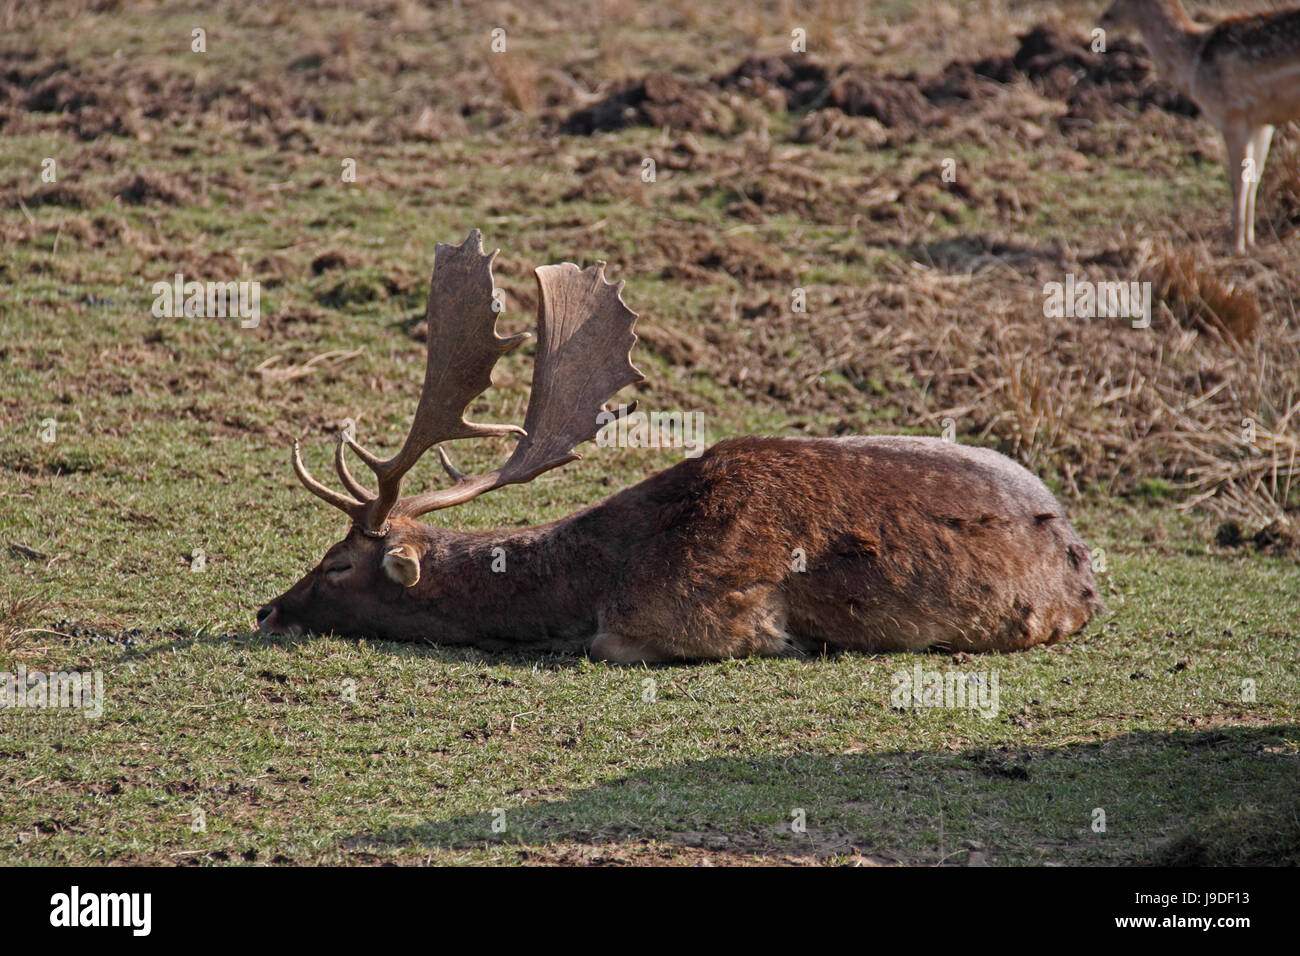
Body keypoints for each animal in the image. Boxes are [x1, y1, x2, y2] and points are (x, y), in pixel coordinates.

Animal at [1099, 0, 1300, 253]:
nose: (1104, 17)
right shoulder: (1262, 123)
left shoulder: (1232, 115)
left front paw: (1236, 246)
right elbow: (1256, 177)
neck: (1192, 62)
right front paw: (1250, 241)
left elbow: (1239, 181)